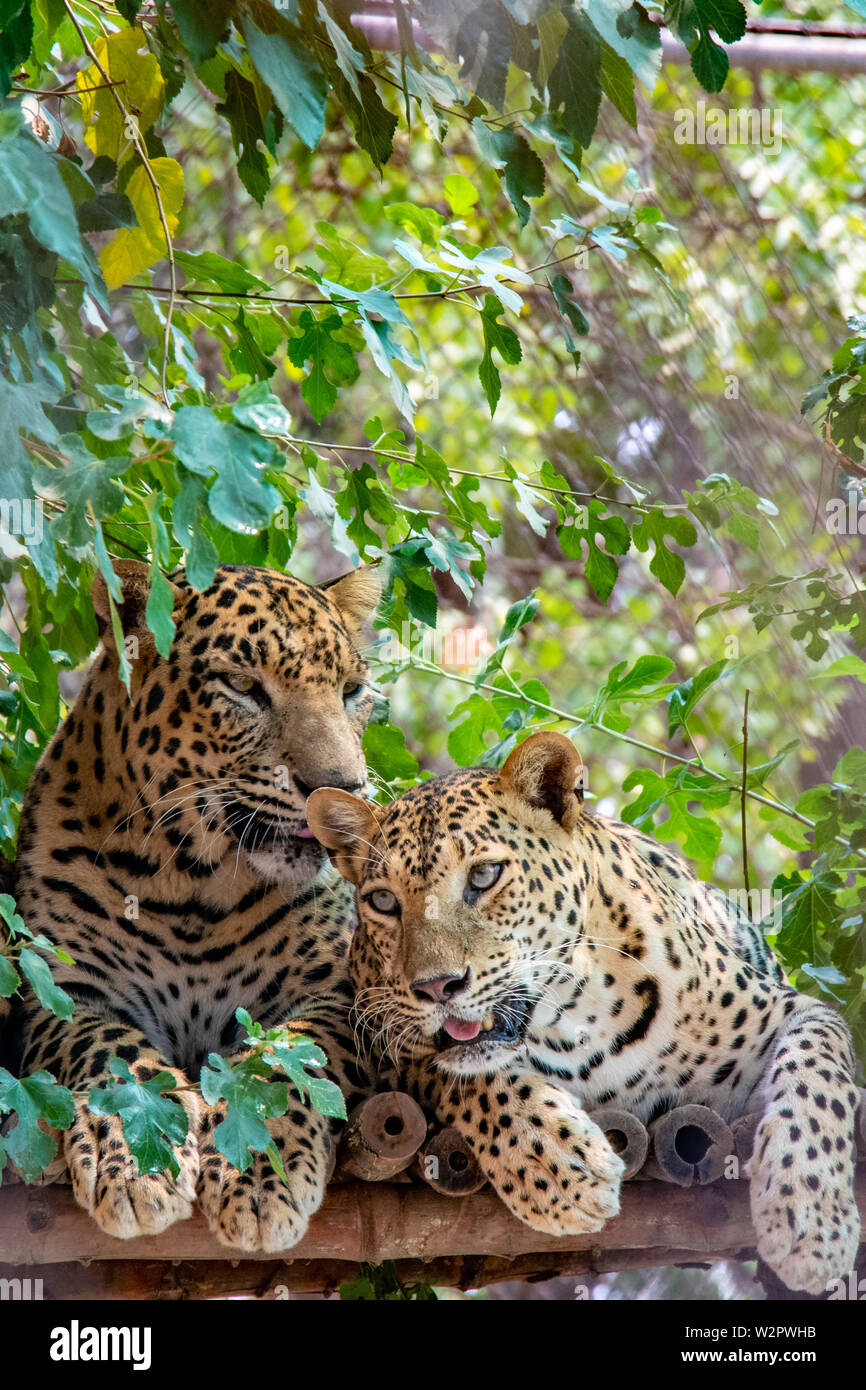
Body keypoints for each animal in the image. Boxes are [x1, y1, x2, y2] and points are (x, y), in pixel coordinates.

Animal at [9, 558, 380, 1252]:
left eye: (351, 692)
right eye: (242, 686)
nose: (343, 787)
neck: (191, 886)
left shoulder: (343, 991)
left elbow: (289, 1062)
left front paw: (259, 1175)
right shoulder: (62, 992)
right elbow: (114, 1054)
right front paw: (137, 1160)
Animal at [307, 730, 862, 1294]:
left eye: (484, 875)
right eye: (383, 901)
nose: (436, 987)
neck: (573, 1022)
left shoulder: (789, 1010)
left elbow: (815, 1080)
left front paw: (810, 1218)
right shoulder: (381, 1034)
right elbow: (471, 1079)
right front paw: (558, 1167)